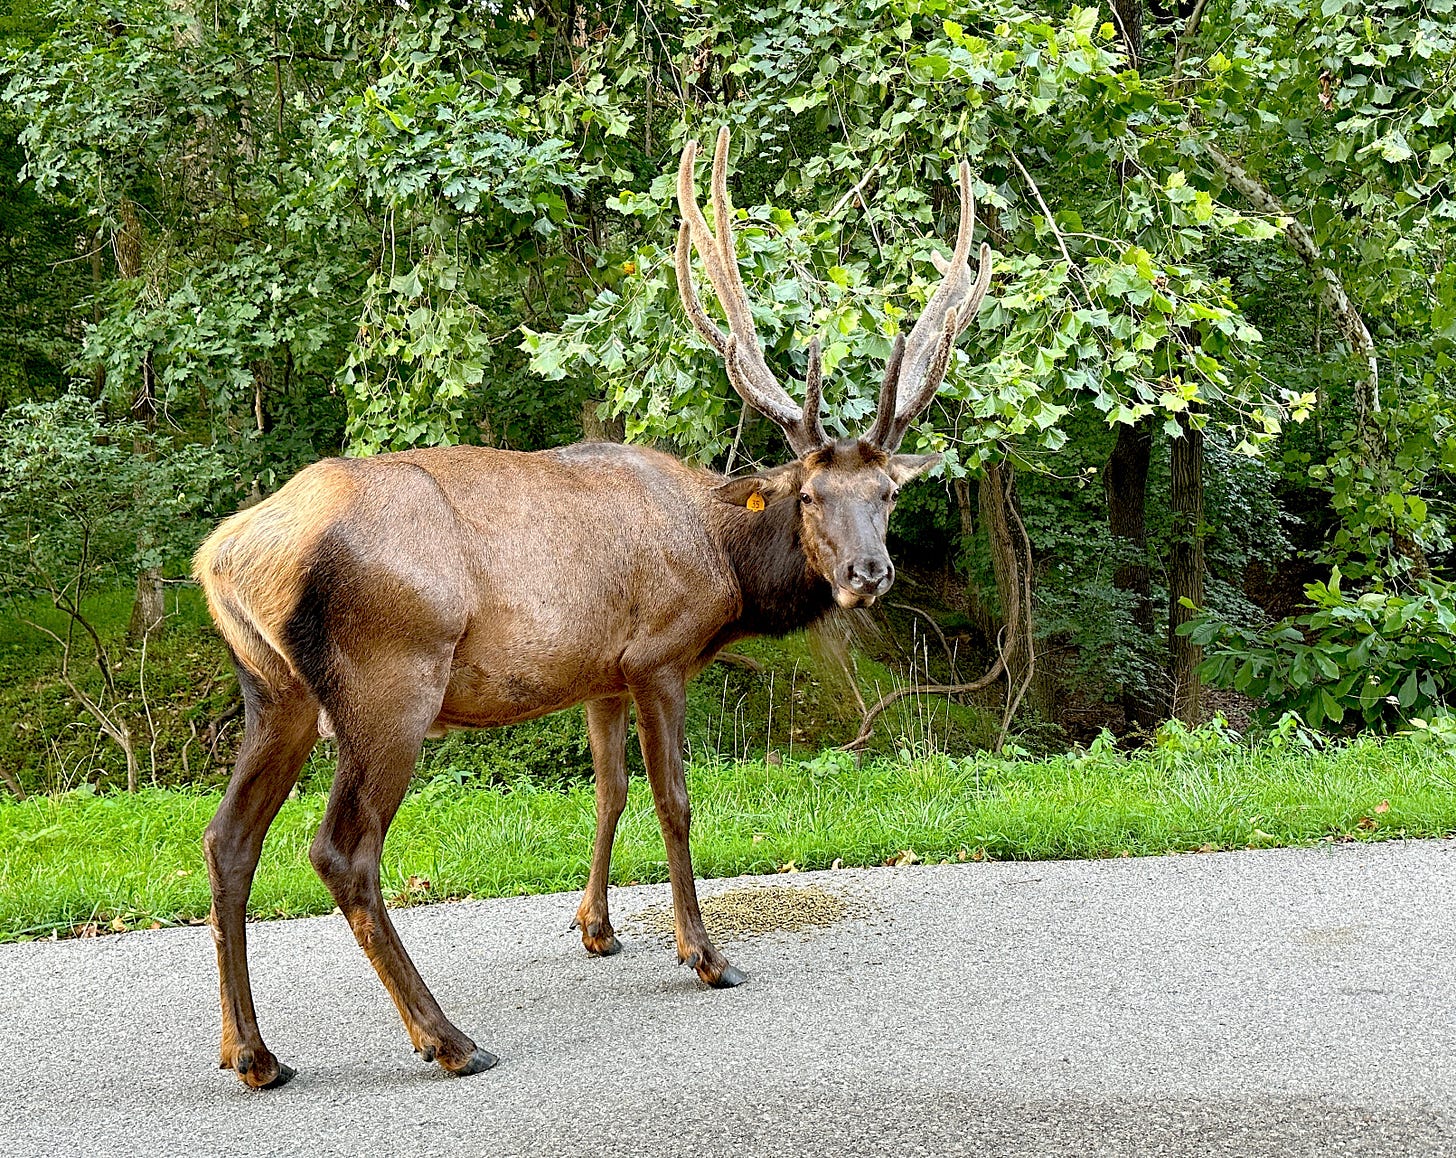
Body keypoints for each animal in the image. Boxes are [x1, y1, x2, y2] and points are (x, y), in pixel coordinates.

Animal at [192, 127, 993, 1089]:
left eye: (887, 495)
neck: (724, 567)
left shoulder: (599, 675)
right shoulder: (659, 655)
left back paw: (252, 1052)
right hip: (387, 682)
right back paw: (447, 1038)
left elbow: (609, 791)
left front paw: (597, 928)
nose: (868, 573)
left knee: (227, 840)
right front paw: (705, 954)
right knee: (342, 850)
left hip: (272, 690)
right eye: (808, 495)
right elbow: (673, 800)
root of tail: (225, 557)